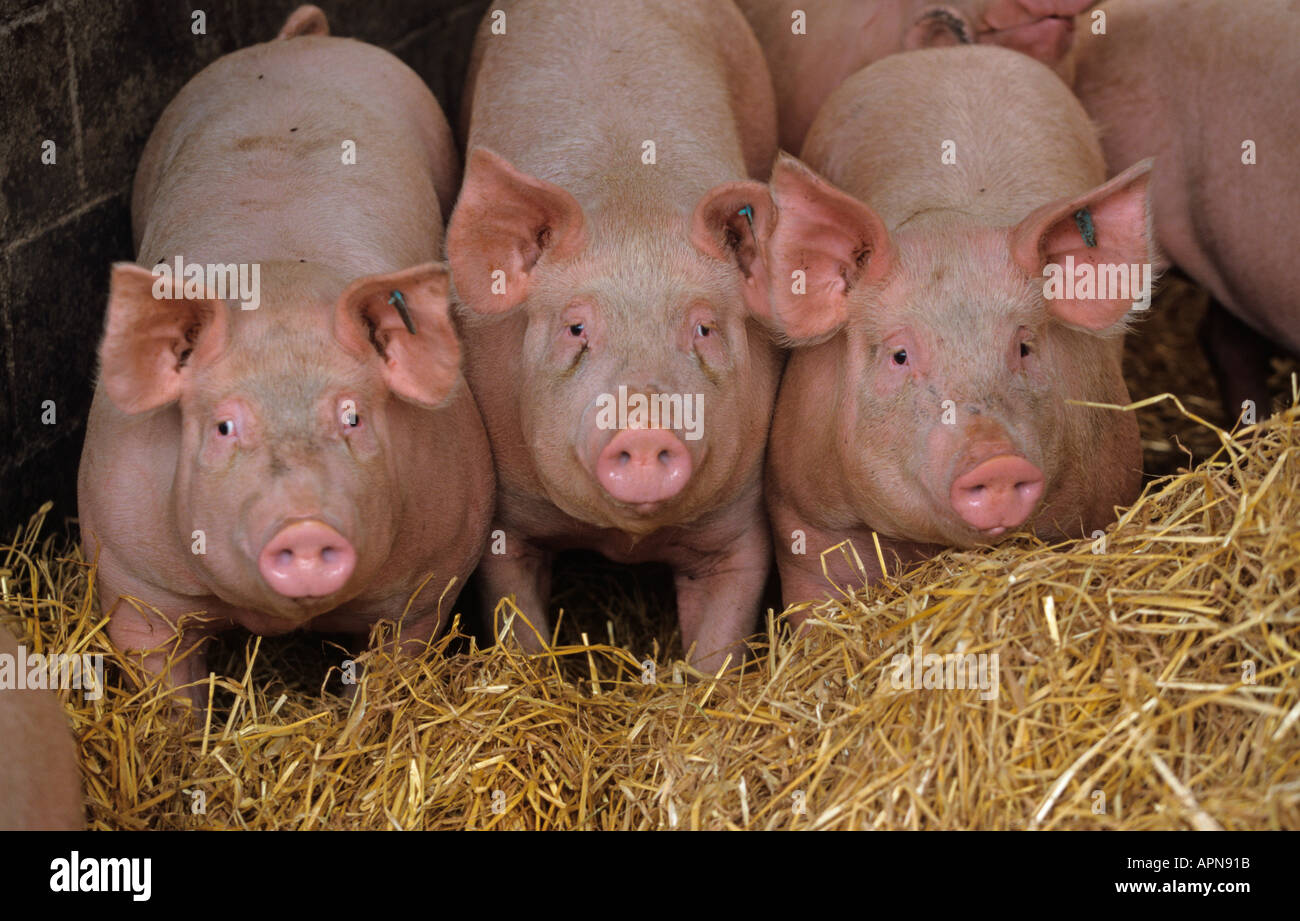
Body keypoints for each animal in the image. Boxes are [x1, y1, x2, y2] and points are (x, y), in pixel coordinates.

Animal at [77, 7, 494, 707]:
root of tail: (300, 42)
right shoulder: (131, 576)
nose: (304, 528)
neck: (280, 291)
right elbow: (164, 681)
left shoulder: (431, 580)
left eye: (353, 416)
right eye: (224, 426)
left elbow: (389, 670)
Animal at [445, 0, 782, 672]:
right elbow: (516, 615)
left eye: (704, 327)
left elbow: (721, 635)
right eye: (576, 326)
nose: (646, 425)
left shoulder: (740, 522)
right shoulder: (507, 517)